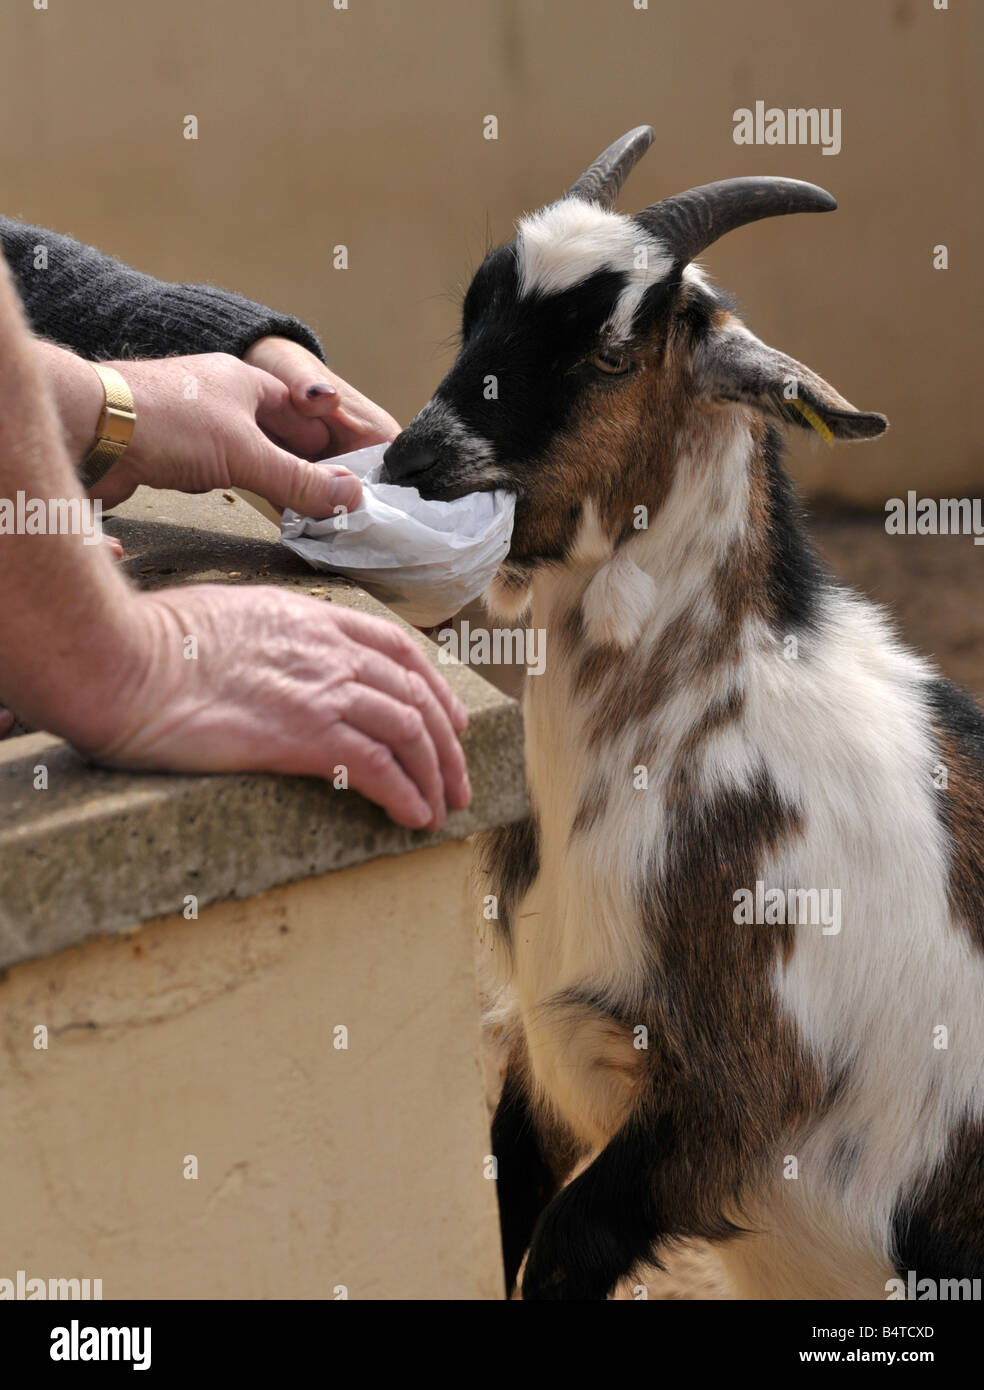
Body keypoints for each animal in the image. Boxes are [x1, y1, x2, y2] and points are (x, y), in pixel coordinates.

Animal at [383, 126, 984, 1301]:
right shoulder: (546, 1055)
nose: (411, 461)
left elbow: (564, 1249)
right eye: (477, 311)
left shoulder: (726, 1105)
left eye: (614, 355)